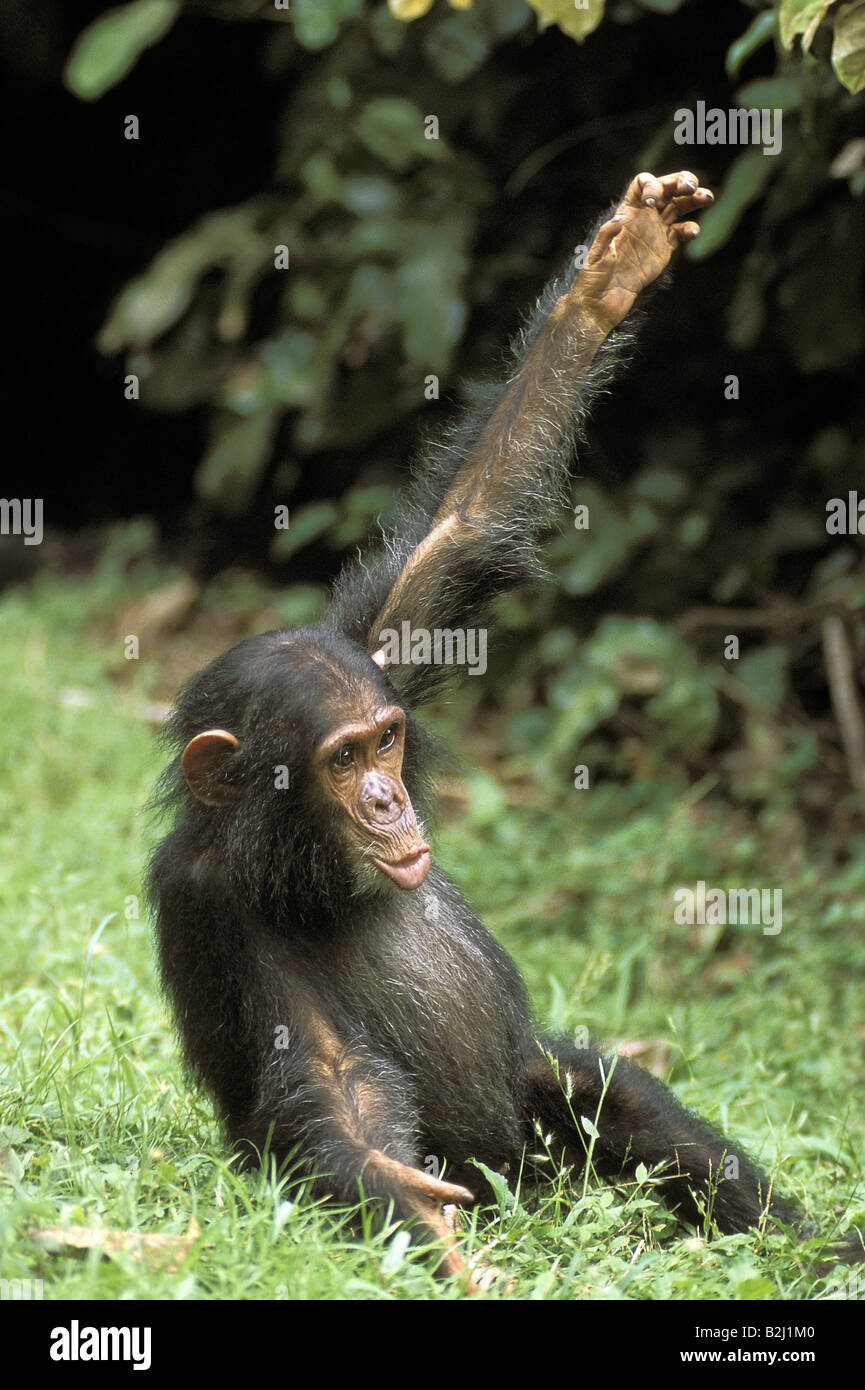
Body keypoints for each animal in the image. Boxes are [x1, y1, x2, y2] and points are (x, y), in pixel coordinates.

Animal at [149, 173, 864, 1284]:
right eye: (339, 761)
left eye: (385, 740)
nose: (385, 798)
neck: (290, 854)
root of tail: (543, 1191)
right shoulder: (207, 903)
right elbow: (332, 1081)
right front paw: (427, 1225)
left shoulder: (379, 647)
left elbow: (463, 526)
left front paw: (610, 275)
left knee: (619, 1097)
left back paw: (815, 1249)